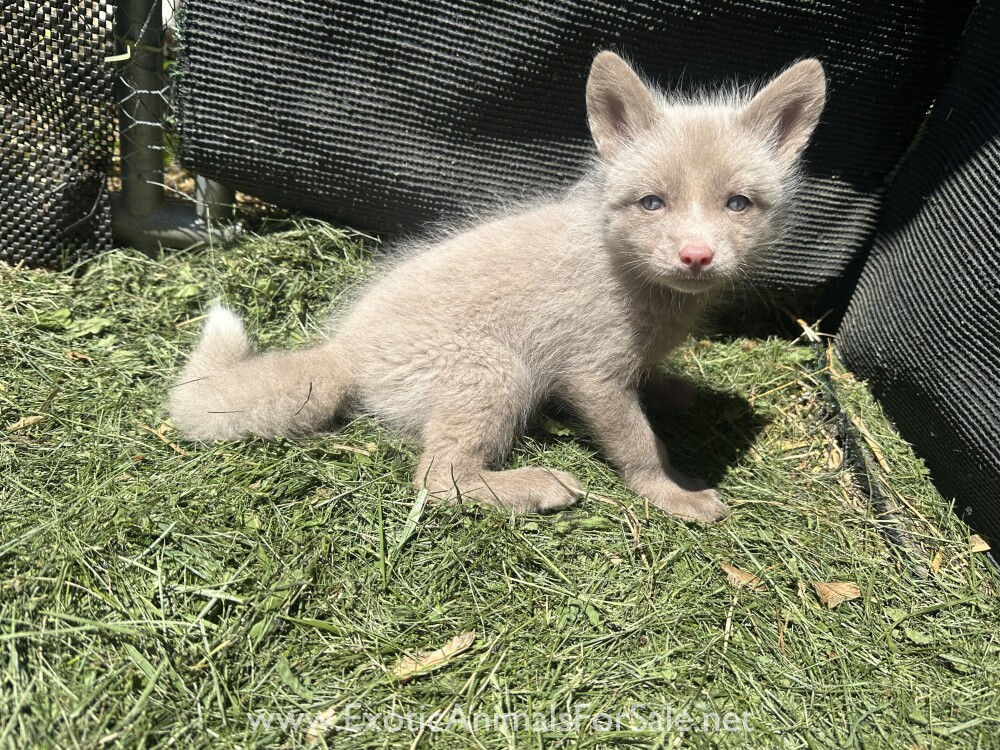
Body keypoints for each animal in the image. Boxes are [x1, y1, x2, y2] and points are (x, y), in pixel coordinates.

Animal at [169, 51, 826, 522]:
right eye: (652, 203)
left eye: (737, 204)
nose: (695, 256)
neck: (623, 269)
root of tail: (342, 352)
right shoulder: (592, 377)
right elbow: (639, 444)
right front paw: (671, 494)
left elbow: (652, 385)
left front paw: (677, 393)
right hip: (496, 373)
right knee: (437, 480)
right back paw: (536, 488)